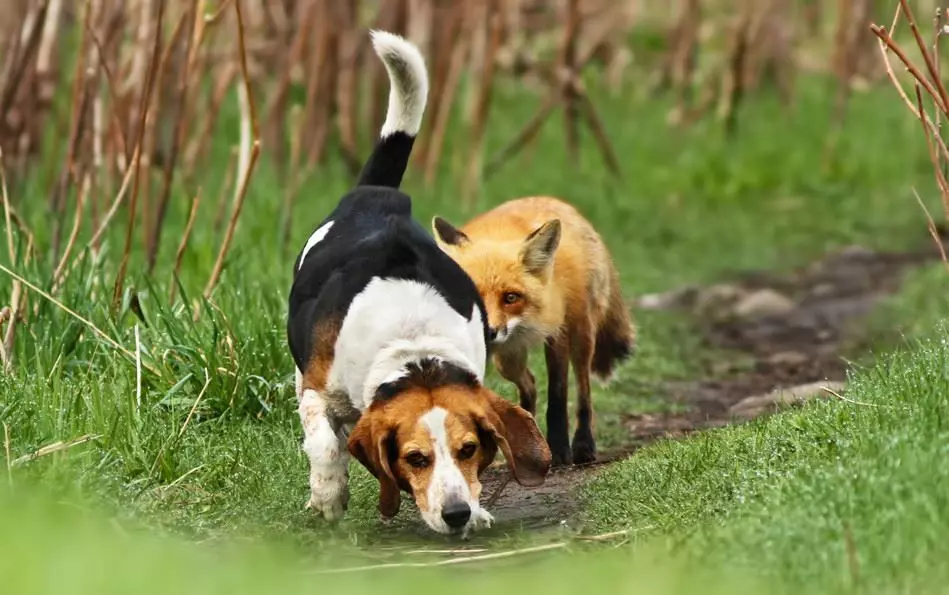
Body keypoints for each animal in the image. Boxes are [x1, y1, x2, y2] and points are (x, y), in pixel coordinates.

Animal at [286, 30, 552, 536]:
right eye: (415, 458)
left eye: (469, 449)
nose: (456, 514)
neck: (414, 350)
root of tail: (378, 195)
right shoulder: (317, 390)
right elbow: (324, 443)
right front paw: (329, 493)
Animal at [434, 197, 632, 466]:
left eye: (511, 298)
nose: (489, 332)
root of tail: (560, 202)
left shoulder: (557, 333)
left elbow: (558, 396)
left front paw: (559, 450)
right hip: (507, 360)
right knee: (529, 384)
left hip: (582, 335)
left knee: (583, 391)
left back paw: (583, 445)